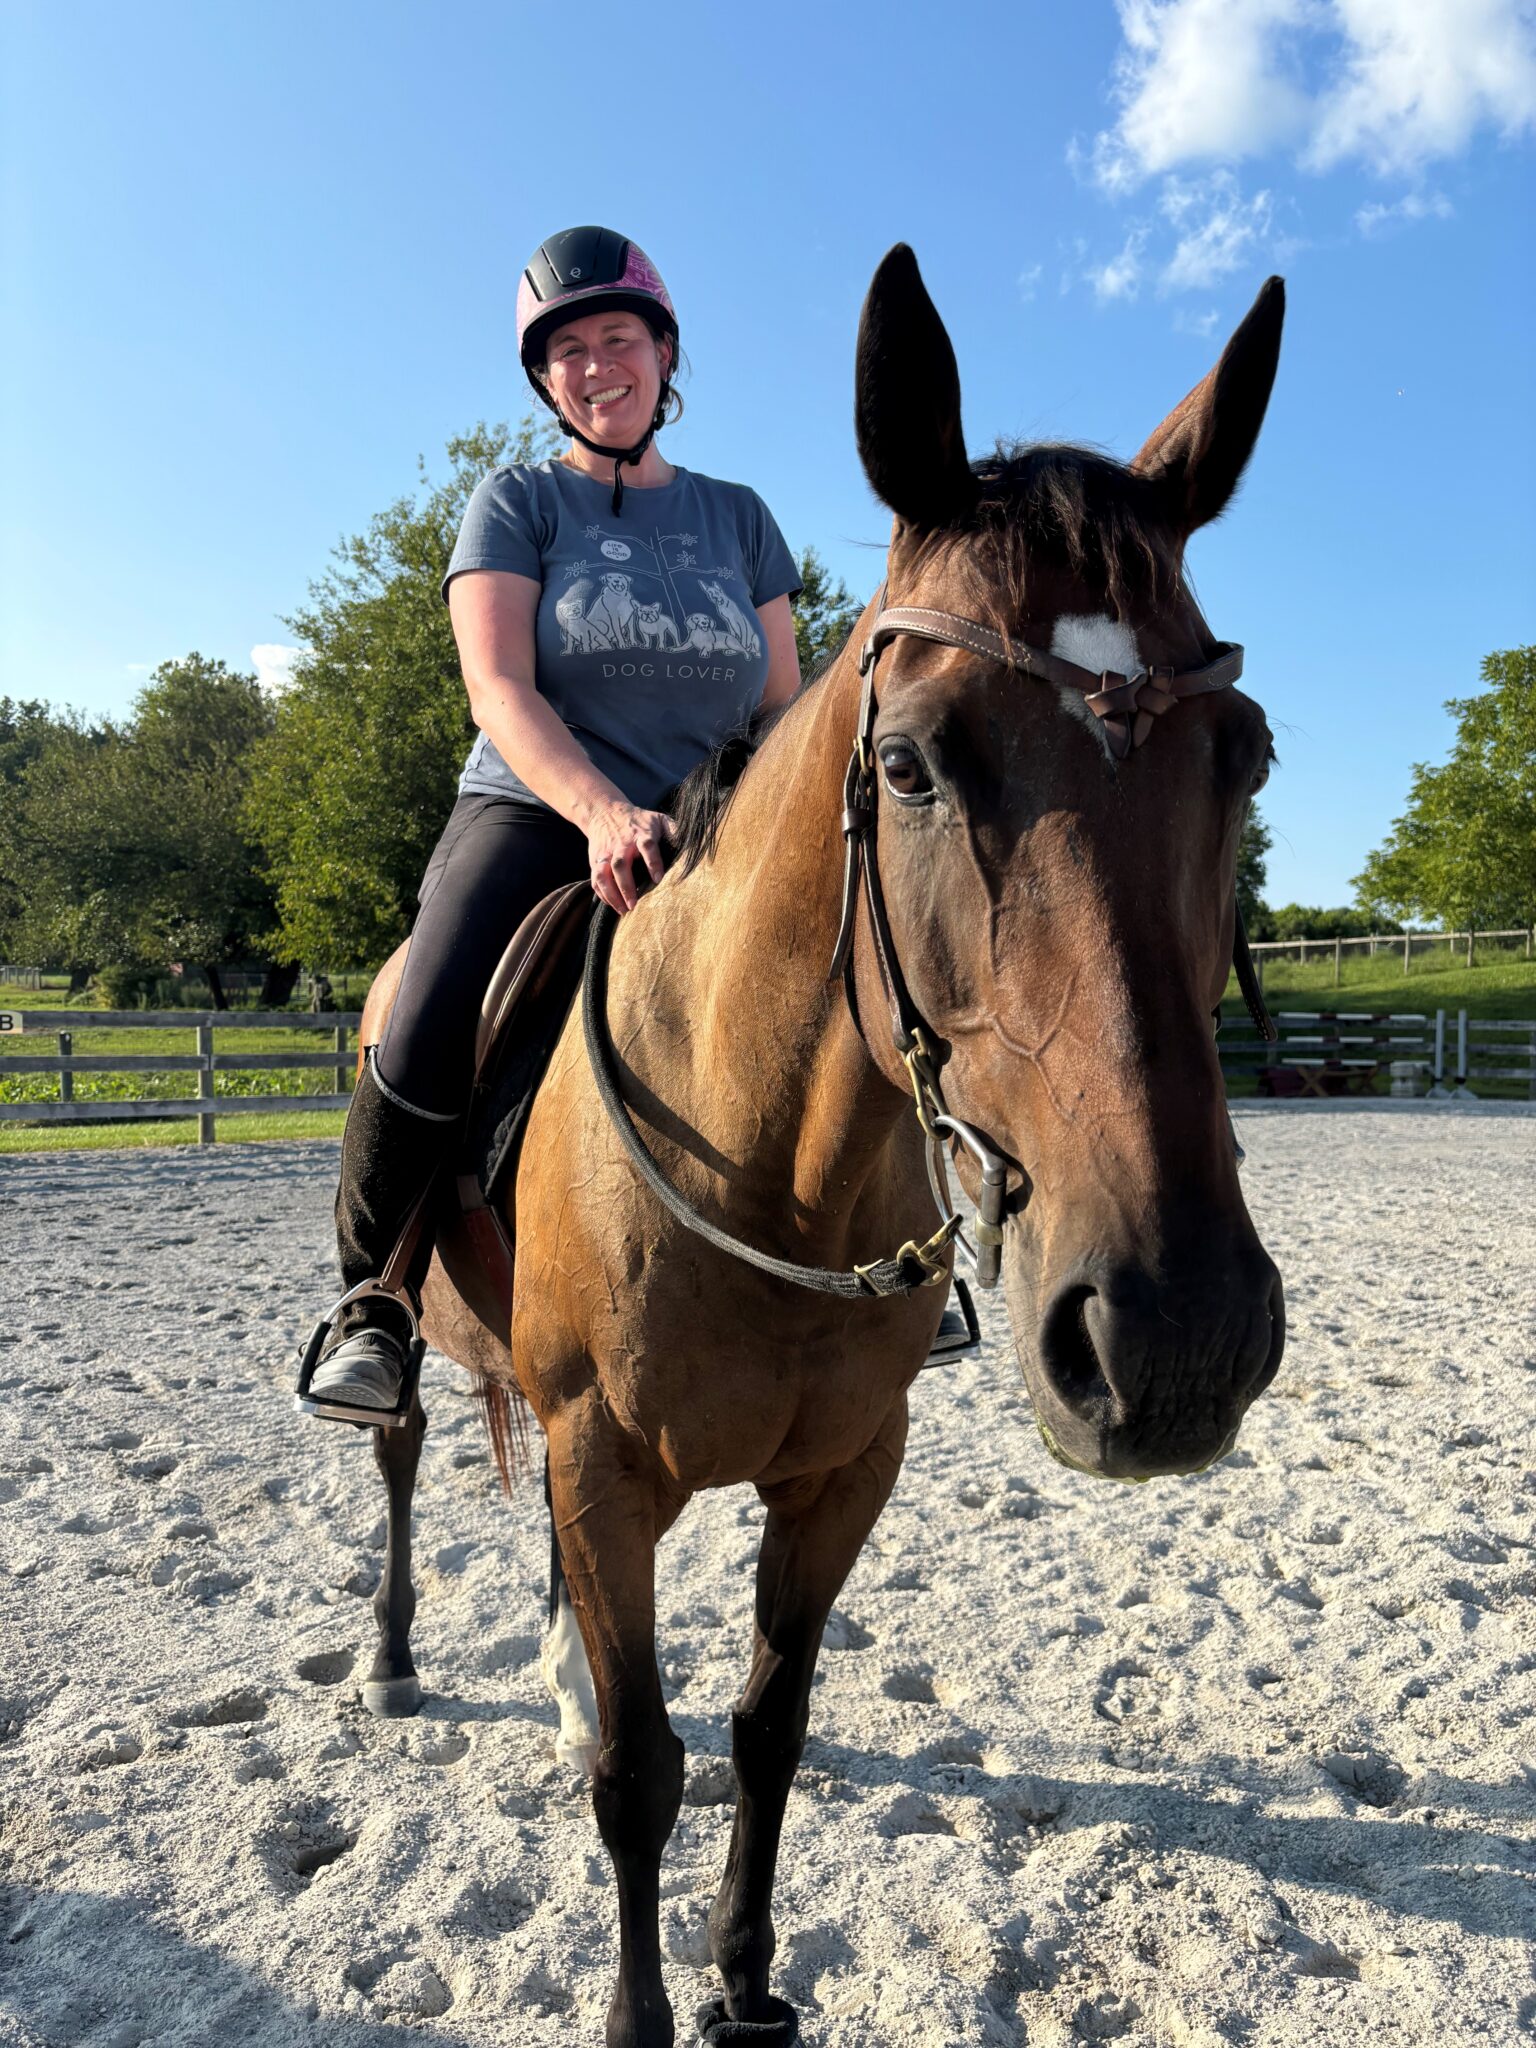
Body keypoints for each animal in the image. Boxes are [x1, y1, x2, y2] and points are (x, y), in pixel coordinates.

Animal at [356, 245, 1287, 2047]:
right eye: (911, 762)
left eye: (1248, 753)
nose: (1175, 1337)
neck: (762, 1170)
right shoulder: (607, 1466)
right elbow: (642, 1773)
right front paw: (646, 2012)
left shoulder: (843, 1474)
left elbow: (763, 1729)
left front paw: (744, 1985)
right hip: (430, 1342)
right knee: (404, 1450)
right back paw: (386, 1647)